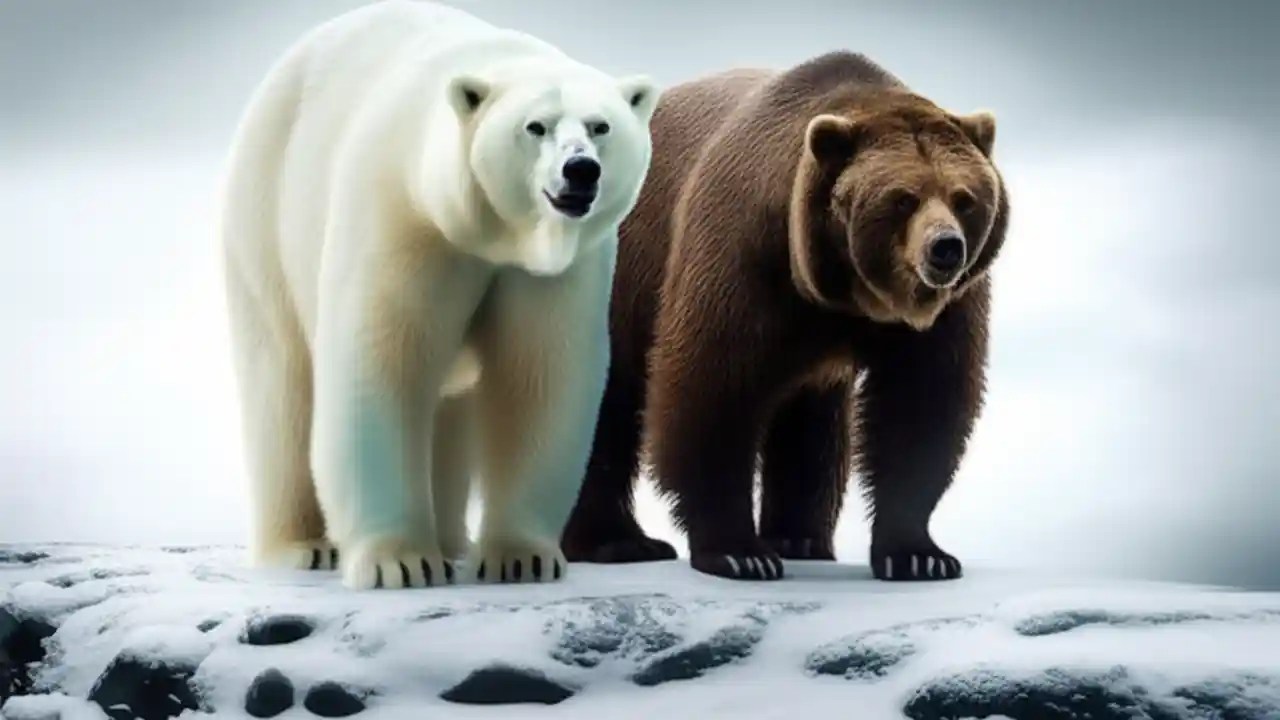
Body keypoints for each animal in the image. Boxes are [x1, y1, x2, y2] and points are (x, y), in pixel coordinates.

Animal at [220, 0, 657, 590]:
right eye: (535, 127)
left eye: (600, 125)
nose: (581, 170)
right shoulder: (404, 222)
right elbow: (383, 364)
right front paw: (398, 562)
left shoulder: (556, 270)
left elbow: (538, 376)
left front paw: (522, 558)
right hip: (265, 215)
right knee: (283, 382)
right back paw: (303, 546)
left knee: (449, 410)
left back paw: (451, 540)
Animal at [559, 51, 1009, 582]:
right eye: (902, 198)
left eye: (965, 198)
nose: (945, 248)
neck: (845, 290)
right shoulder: (743, 256)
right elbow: (711, 390)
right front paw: (738, 551)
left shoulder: (944, 312)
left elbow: (922, 406)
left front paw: (920, 555)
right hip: (614, 278)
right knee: (599, 401)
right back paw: (615, 541)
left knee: (811, 421)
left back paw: (800, 538)